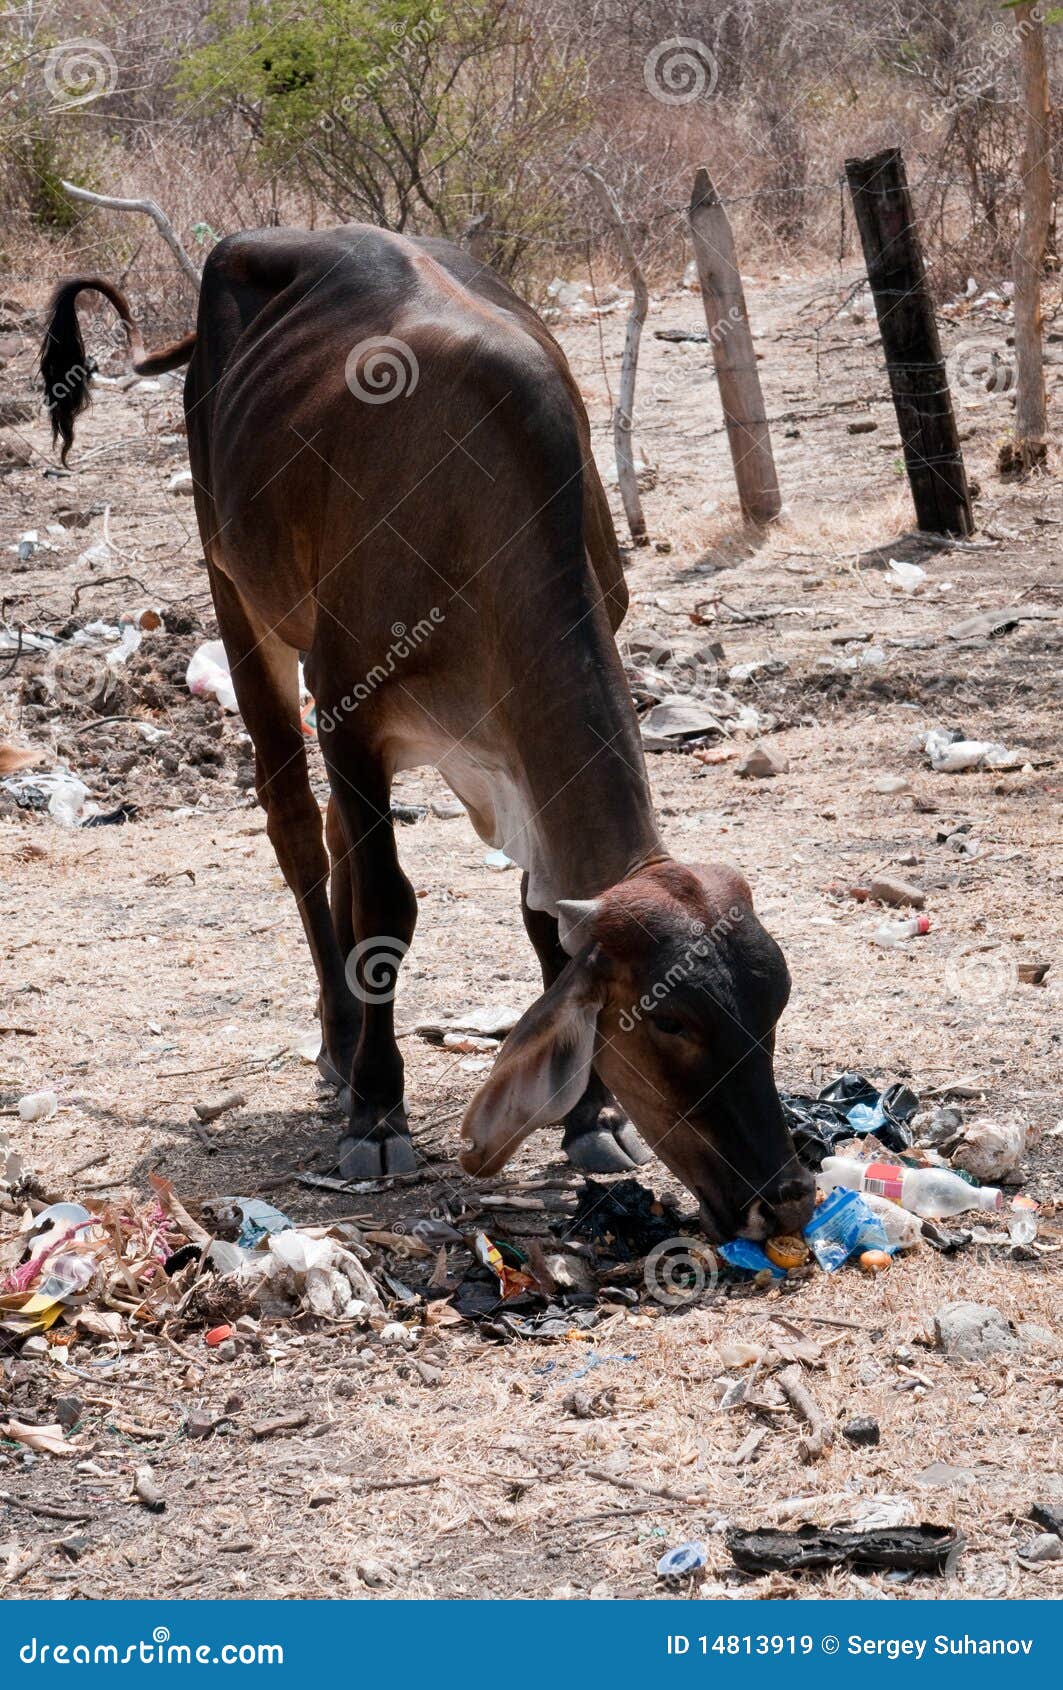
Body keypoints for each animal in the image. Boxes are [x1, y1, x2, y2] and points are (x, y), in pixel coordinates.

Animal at [39, 226, 814, 1243]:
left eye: (774, 1007)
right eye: (670, 1022)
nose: (788, 1196)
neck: (480, 511)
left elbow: (539, 914)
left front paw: (589, 1118)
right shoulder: (348, 706)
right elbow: (386, 911)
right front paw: (377, 1111)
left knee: (332, 834)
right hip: (239, 594)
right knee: (295, 823)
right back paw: (339, 1050)